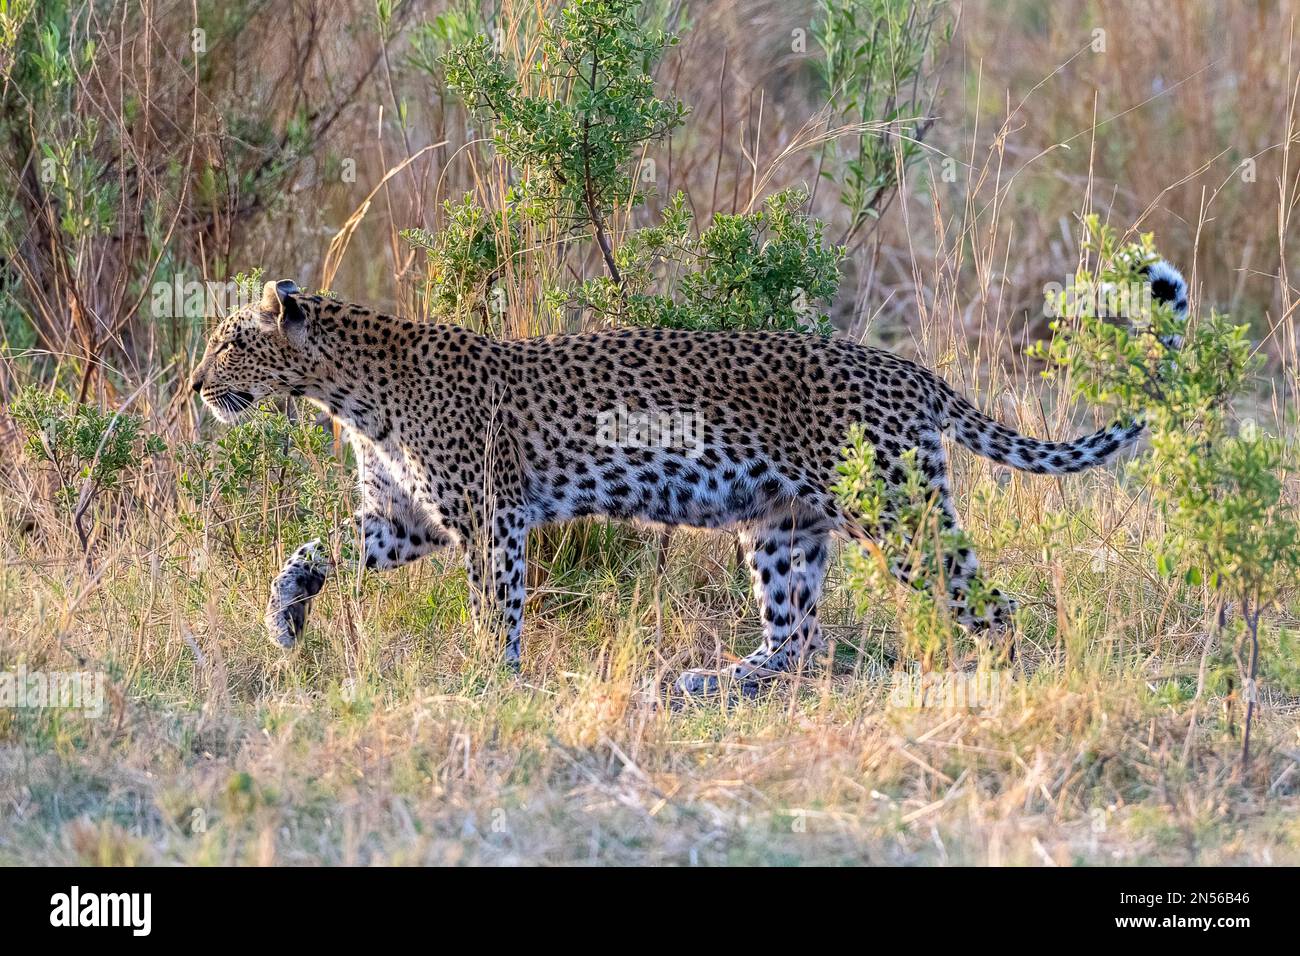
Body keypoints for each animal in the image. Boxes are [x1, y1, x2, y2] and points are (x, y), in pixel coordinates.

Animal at [191, 262, 1187, 696]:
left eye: (230, 343)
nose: (196, 386)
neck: (347, 392)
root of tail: (912, 371)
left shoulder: (487, 519)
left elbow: (493, 607)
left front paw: (489, 682)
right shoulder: (406, 519)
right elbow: (312, 549)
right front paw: (284, 615)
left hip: (895, 511)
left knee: (991, 605)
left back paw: (1001, 680)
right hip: (782, 526)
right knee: (797, 638)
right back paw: (710, 683)